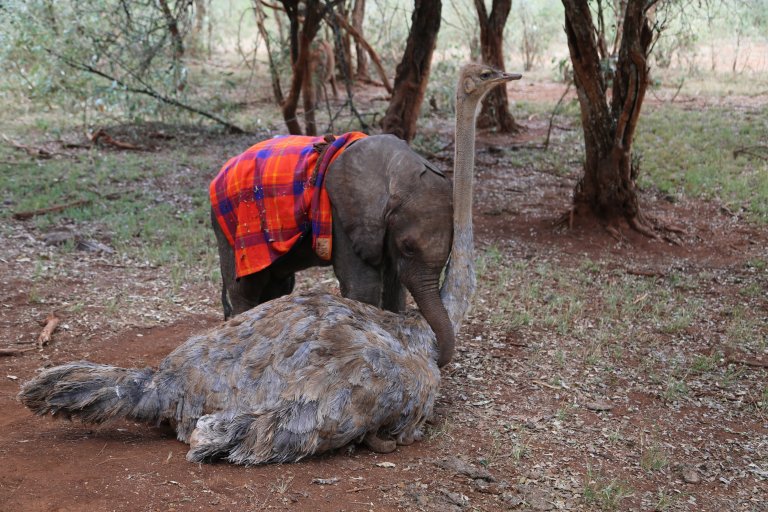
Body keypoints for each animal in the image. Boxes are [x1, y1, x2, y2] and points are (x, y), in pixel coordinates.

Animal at [212, 134, 454, 356]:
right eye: (408, 247)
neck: (396, 169)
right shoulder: (343, 214)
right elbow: (363, 285)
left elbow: (394, 285)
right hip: (233, 229)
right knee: (248, 287)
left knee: (277, 285)